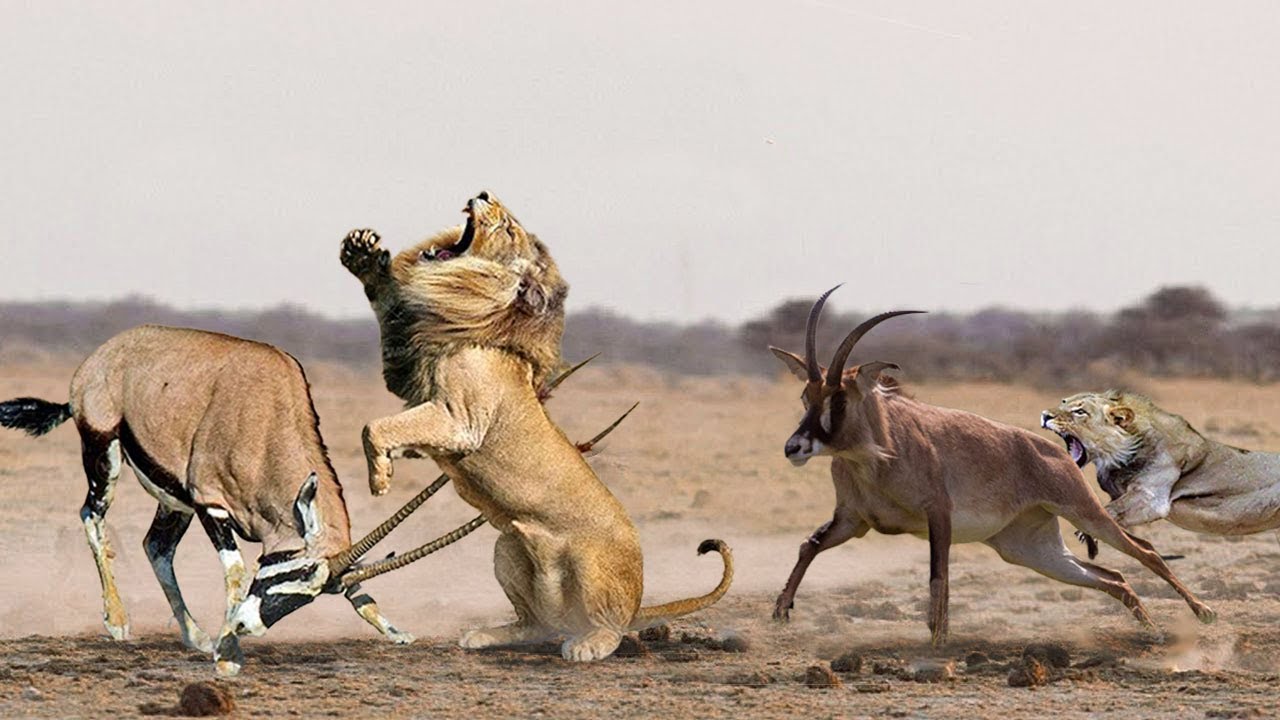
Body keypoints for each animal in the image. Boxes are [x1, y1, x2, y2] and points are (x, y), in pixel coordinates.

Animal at [339, 191, 732, 661]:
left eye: (508, 226)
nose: (482, 193)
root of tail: (637, 601)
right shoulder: (413, 375)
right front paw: (363, 256)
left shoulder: (460, 419)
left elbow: (372, 427)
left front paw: (380, 478)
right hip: (507, 547)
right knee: (535, 623)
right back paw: (486, 635)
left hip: (588, 565)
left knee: (611, 626)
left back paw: (588, 646)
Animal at [768, 287, 1216, 644]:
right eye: (806, 397)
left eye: (840, 400)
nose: (794, 447)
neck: (880, 453)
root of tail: (1057, 454)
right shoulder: (852, 520)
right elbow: (808, 545)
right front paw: (779, 612)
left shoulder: (938, 515)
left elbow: (938, 575)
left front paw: (939, 640)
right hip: (1030, 550)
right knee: (1115, 578)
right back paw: (1151, 629)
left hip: (1083, 511)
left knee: (1145, 552)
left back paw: (1203, 613)